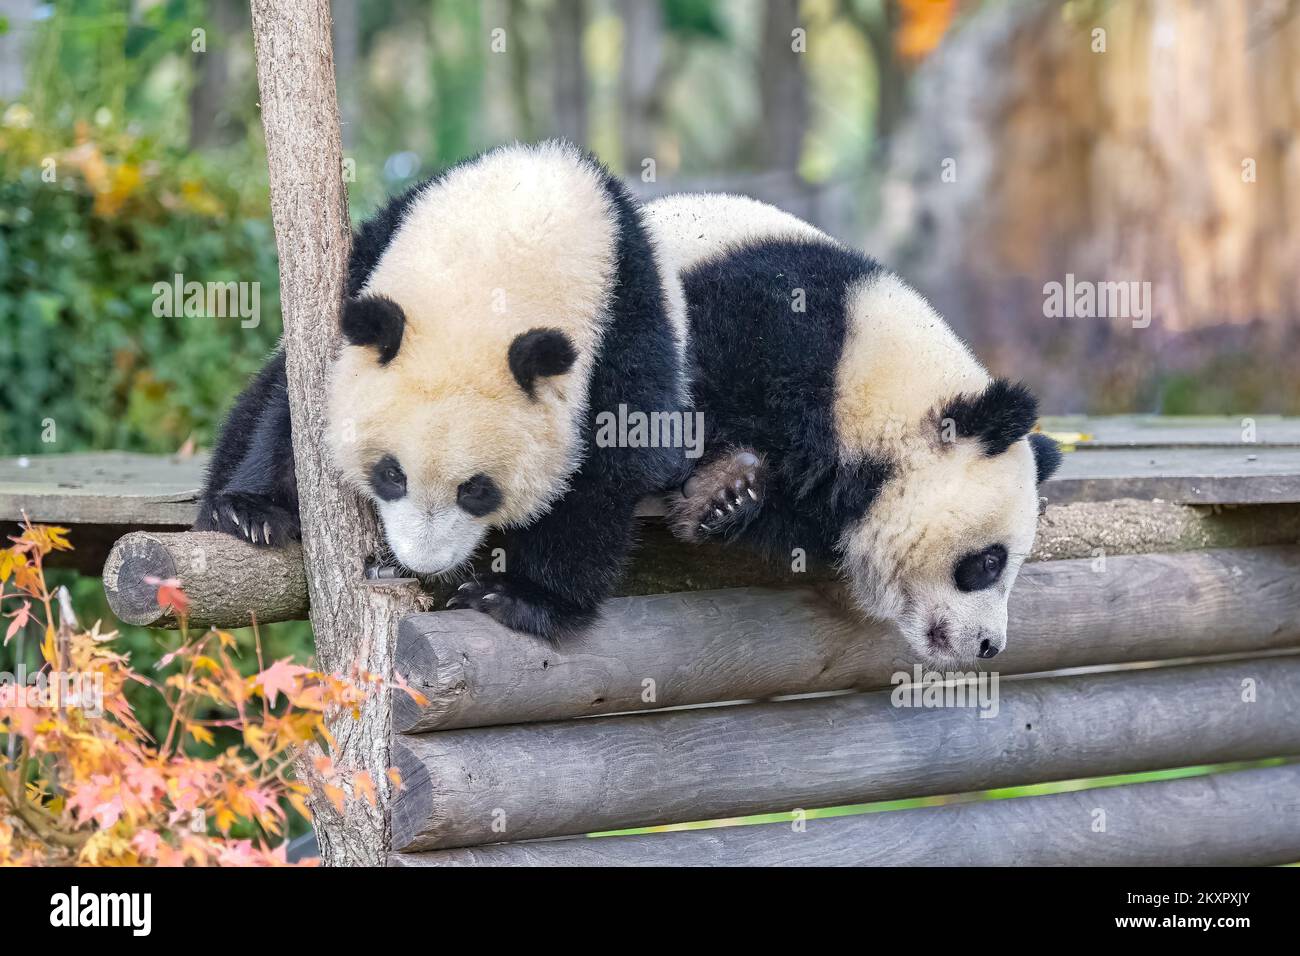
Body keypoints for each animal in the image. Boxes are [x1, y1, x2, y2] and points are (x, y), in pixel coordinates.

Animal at [195, 141, 686, 640]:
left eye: (477, 490)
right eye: (391, 474)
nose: (421, 563)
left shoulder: (624, 327)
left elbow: (612, 462)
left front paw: (520, 597)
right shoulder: (369, 268)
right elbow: (296, 402)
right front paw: (254, 512)